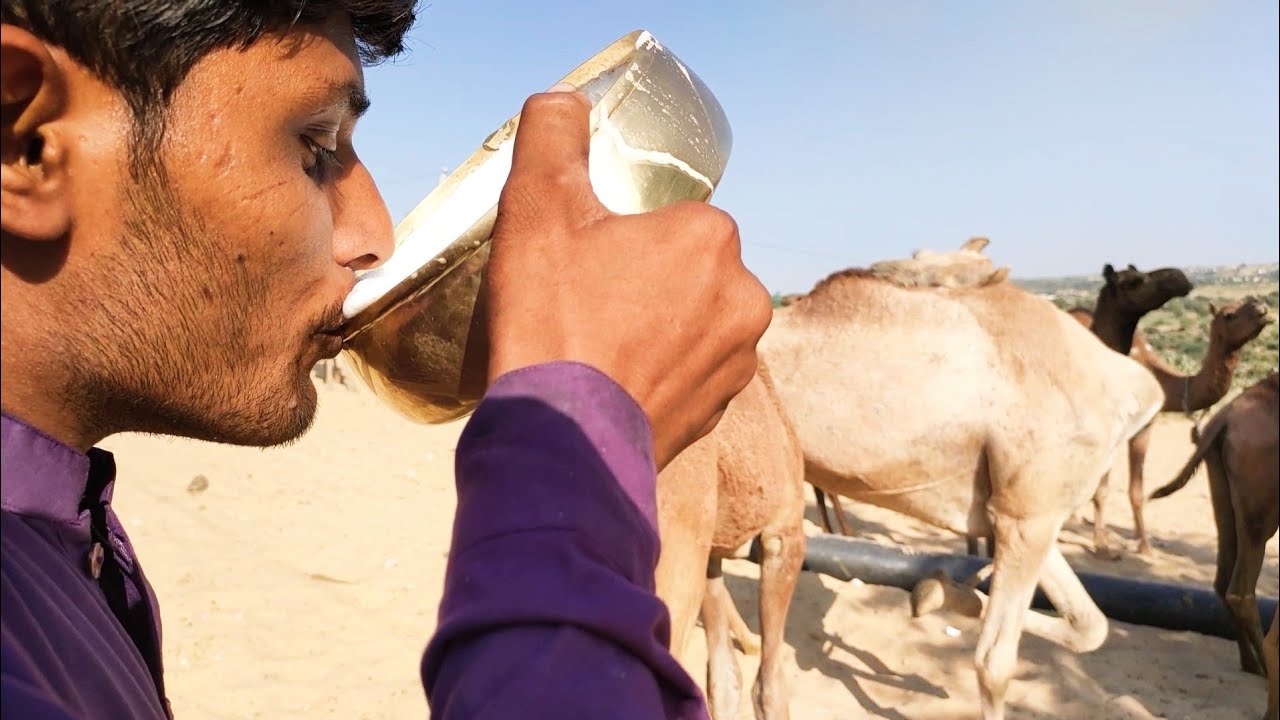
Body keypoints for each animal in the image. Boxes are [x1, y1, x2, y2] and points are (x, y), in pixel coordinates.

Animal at [754, 241, 1163, 720]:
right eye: (1134, 280)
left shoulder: (1029, 512)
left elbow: (1089, 626)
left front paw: (941, 592)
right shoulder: (1026, 516)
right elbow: (994, 662)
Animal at [1149, 371, 1278, 693]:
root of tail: (1226, 417)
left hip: (1221, 484)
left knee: (1223, 579)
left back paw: (1251, 664)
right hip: (1262, 507)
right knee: (1240, 589)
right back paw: (1266, 670)